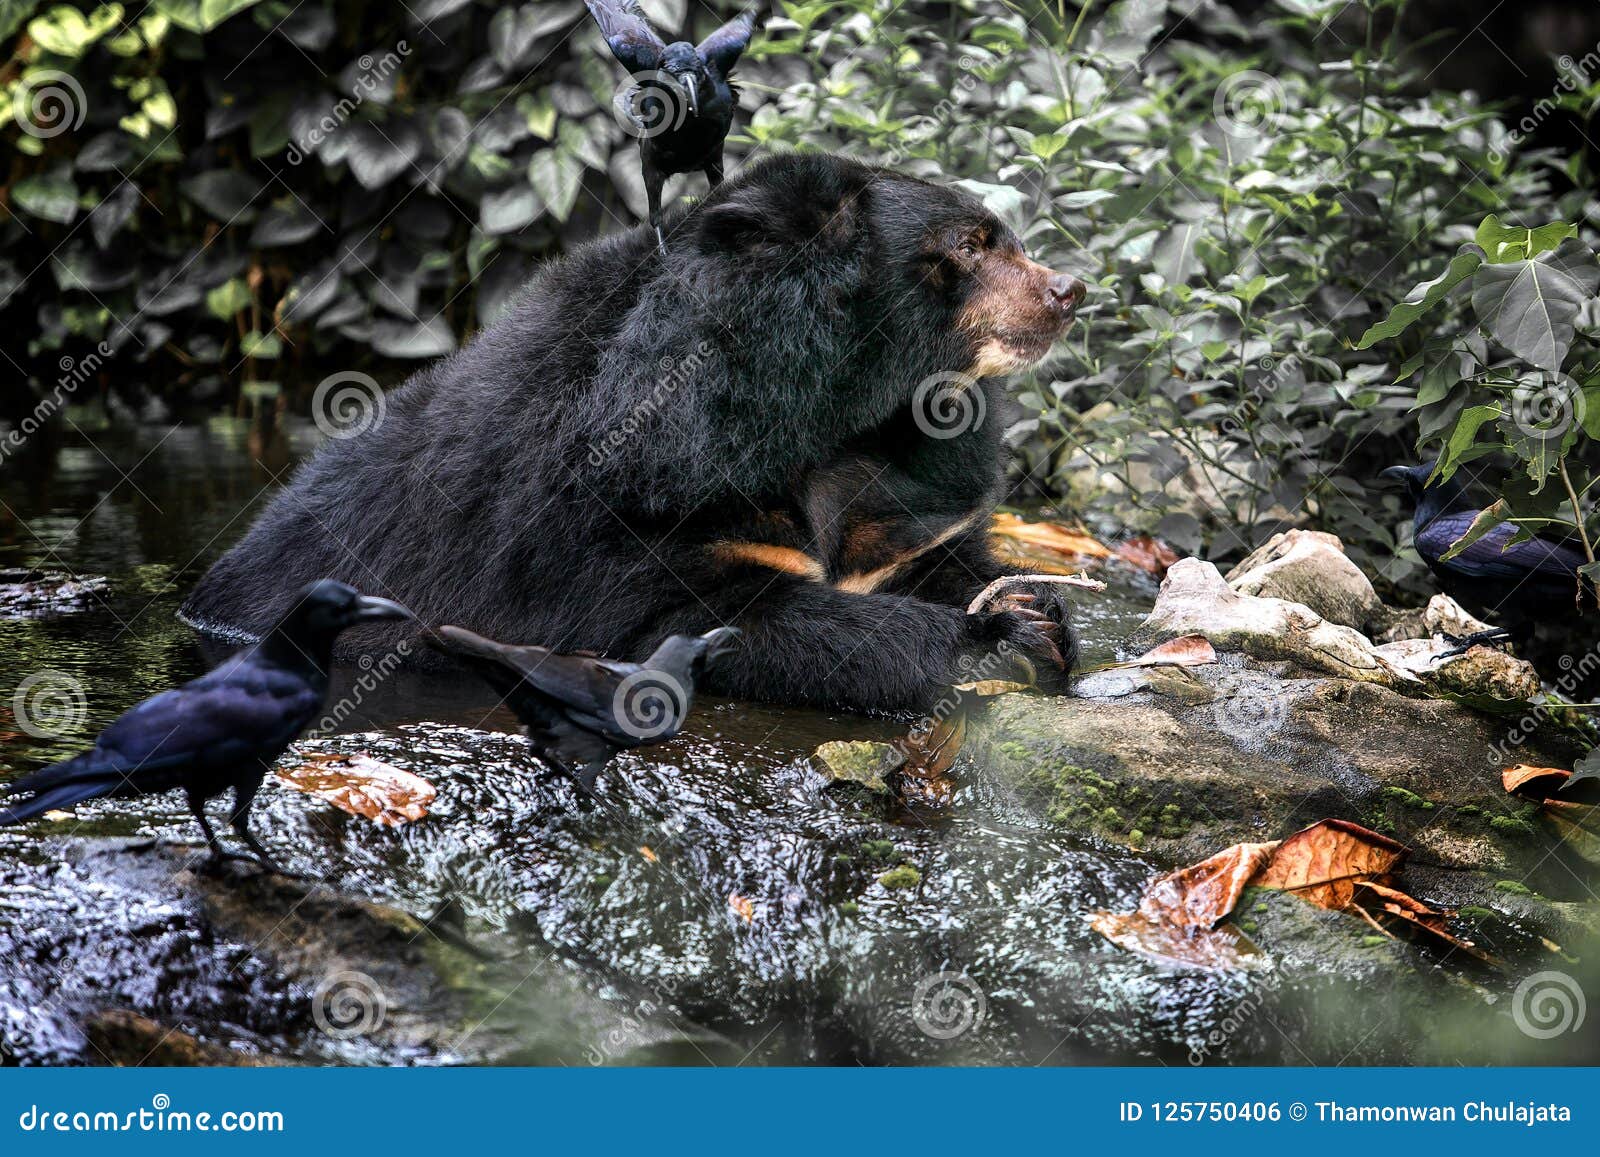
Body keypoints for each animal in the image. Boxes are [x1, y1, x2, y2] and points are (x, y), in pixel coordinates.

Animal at [180, 152, 1087, 713]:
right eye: (969, 245)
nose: (1069, 290)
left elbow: (931, 550)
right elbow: (701, 623)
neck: (842, 413)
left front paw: (1035, 609)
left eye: (1008, 240)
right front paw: (989, 634)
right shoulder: (626, 498)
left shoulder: (902, 494)